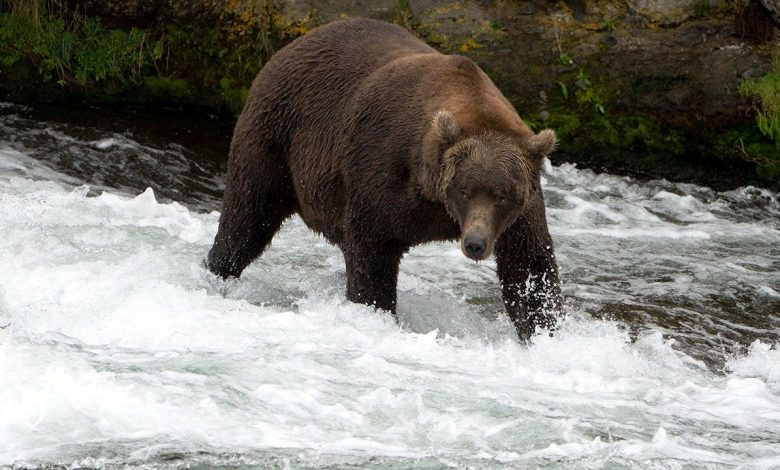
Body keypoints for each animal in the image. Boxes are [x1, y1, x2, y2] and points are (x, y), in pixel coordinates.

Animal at [206, 17, 562, 340]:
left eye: (501, 196)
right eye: (464, 190)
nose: (475, 243)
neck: (432, 197)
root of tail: (291, 45)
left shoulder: (521, 212)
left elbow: (529, 268)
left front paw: (545, 333)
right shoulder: (380, 171)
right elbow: (373, 253)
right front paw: (376, 311)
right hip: (276, 138)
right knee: (248, 216)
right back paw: (218, 269)